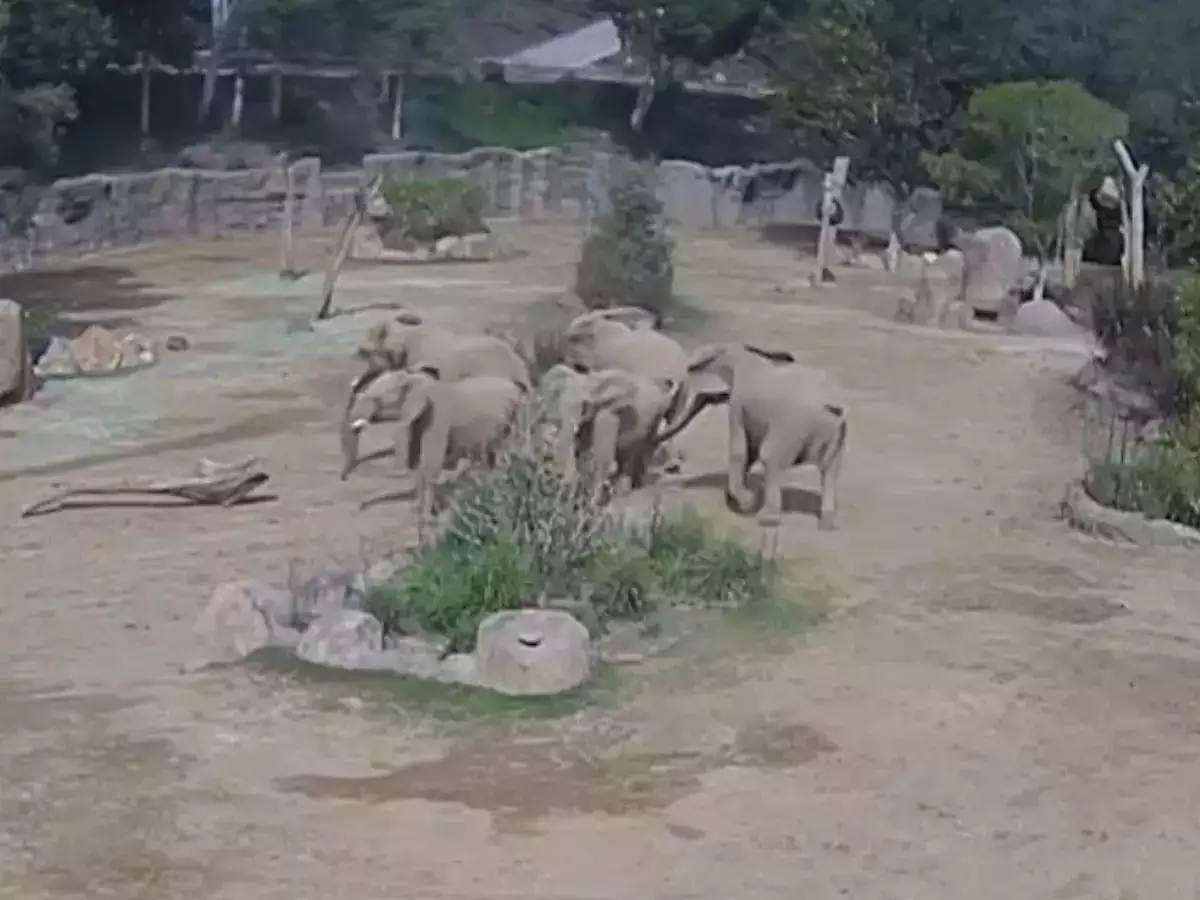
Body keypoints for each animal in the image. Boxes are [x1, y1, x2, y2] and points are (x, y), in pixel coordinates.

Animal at [340, 368, 524, 525]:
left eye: (377, 398)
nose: (359, 508)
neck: (415, 379)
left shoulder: (437, 418)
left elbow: (430, 463)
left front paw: (426, 519)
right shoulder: (418, 420)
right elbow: (418, 462)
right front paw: (417, 510)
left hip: (515, 415)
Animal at [655, 344, 847, 529]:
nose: (712, 396)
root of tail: (831, 406)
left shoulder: (738, 402)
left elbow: (741, 449)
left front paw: (746, 502)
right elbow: (751, 450)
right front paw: (736, 499)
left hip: (793, 425)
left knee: (770, 457)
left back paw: (767, 519)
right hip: (835, 435)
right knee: (830, 470)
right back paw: (829, 523)